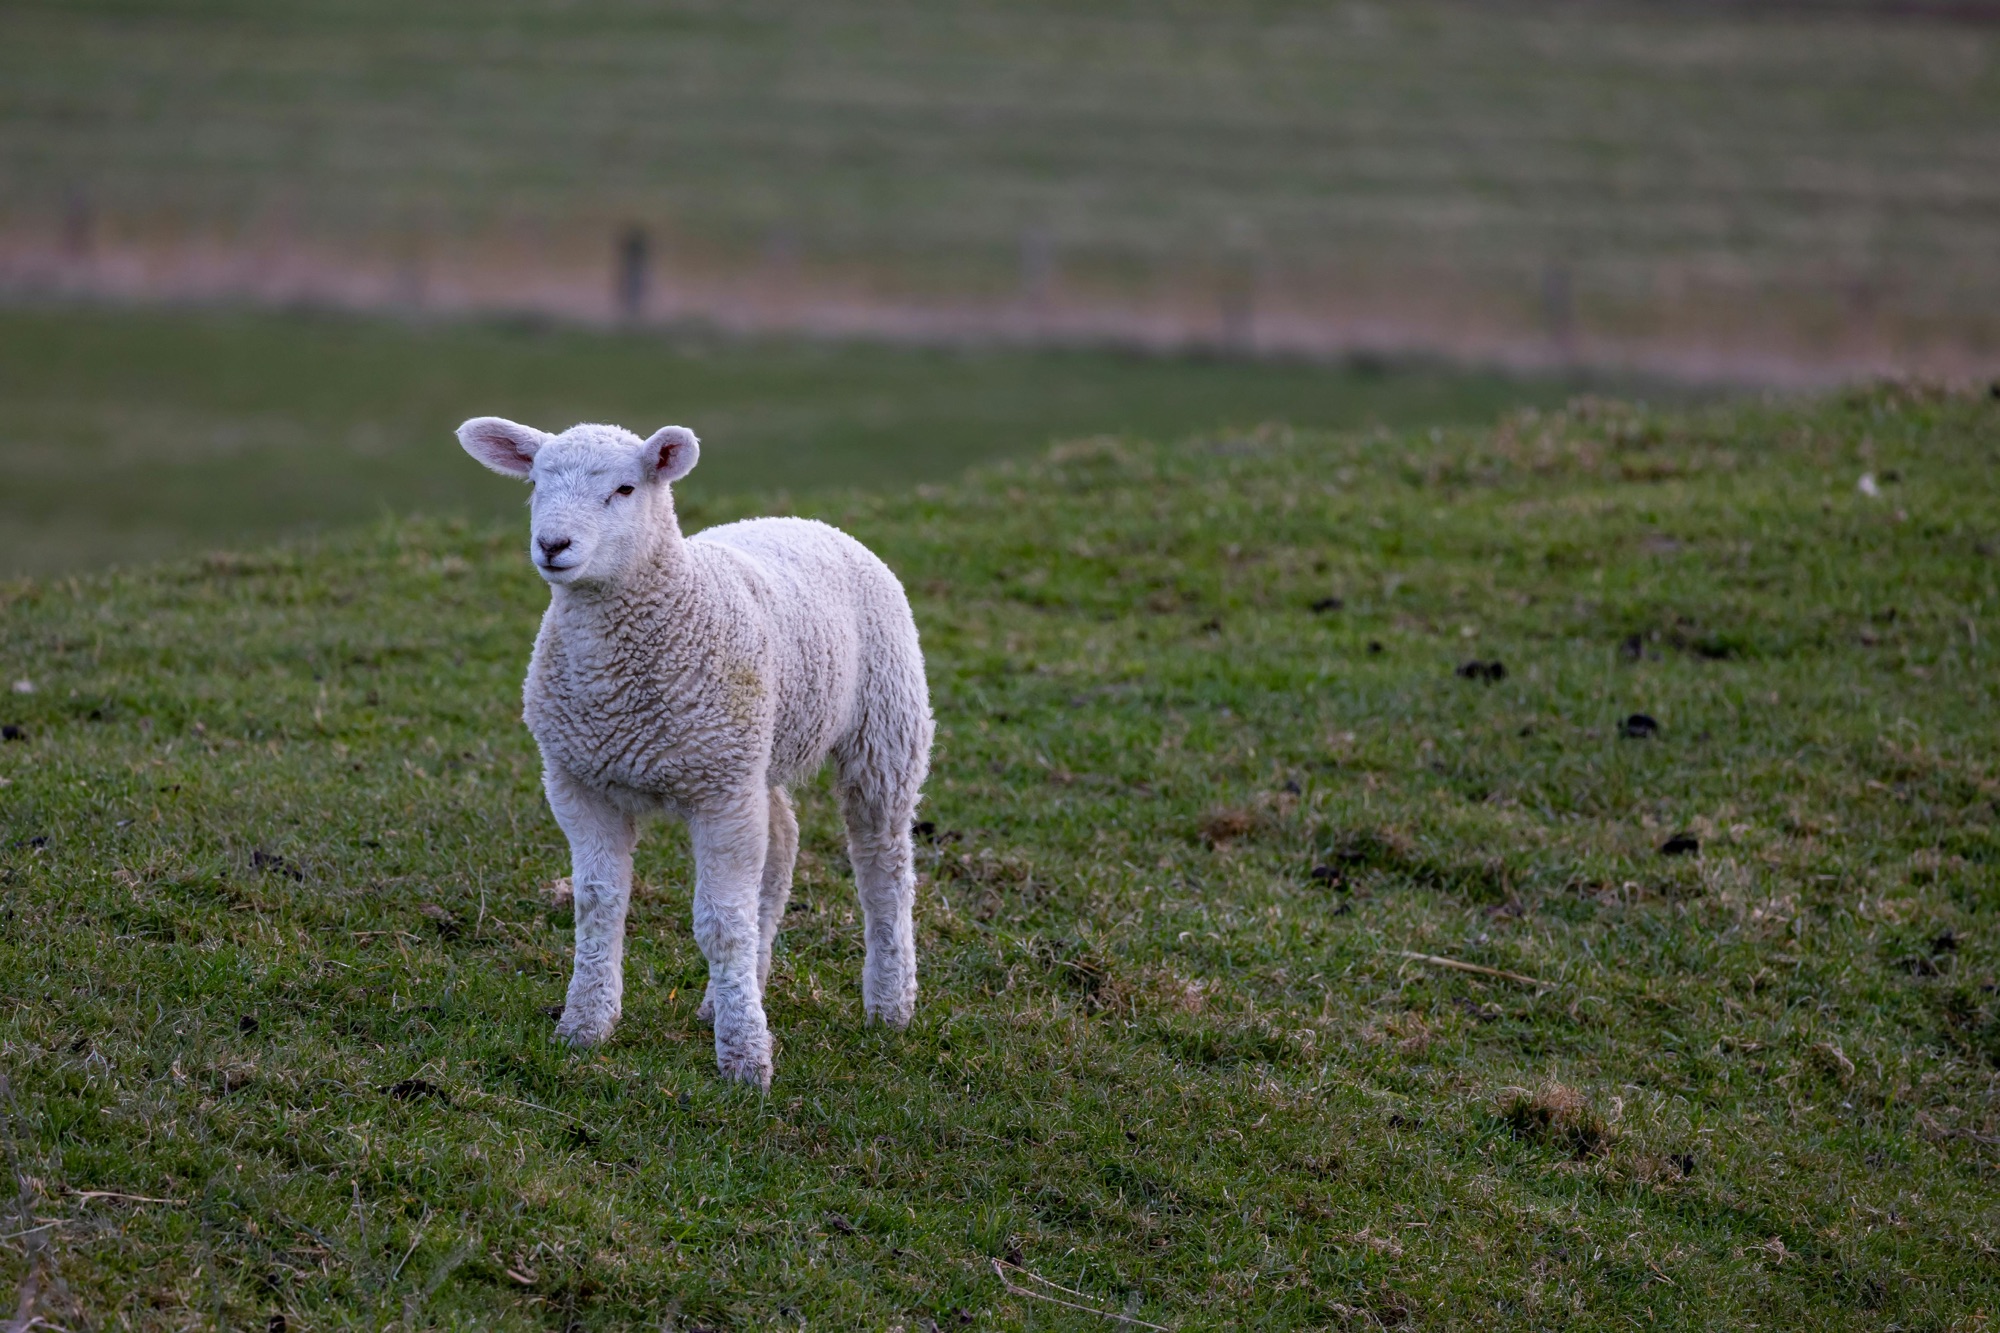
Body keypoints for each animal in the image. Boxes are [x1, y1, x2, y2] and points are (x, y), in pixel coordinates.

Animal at [456, 417, 934, 1089]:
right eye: (534, 484)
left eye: (625, 489)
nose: (553, 545)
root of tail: (803, 520)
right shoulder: (579, 782)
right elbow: (597, 906)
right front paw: (584, 1027)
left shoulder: (719, 792)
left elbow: (721, 925)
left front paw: (745, 1060)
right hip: (755, 750)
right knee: (782, 842)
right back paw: (732, 994)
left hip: (883, 724)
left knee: (883, 863)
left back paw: (890, 1006)